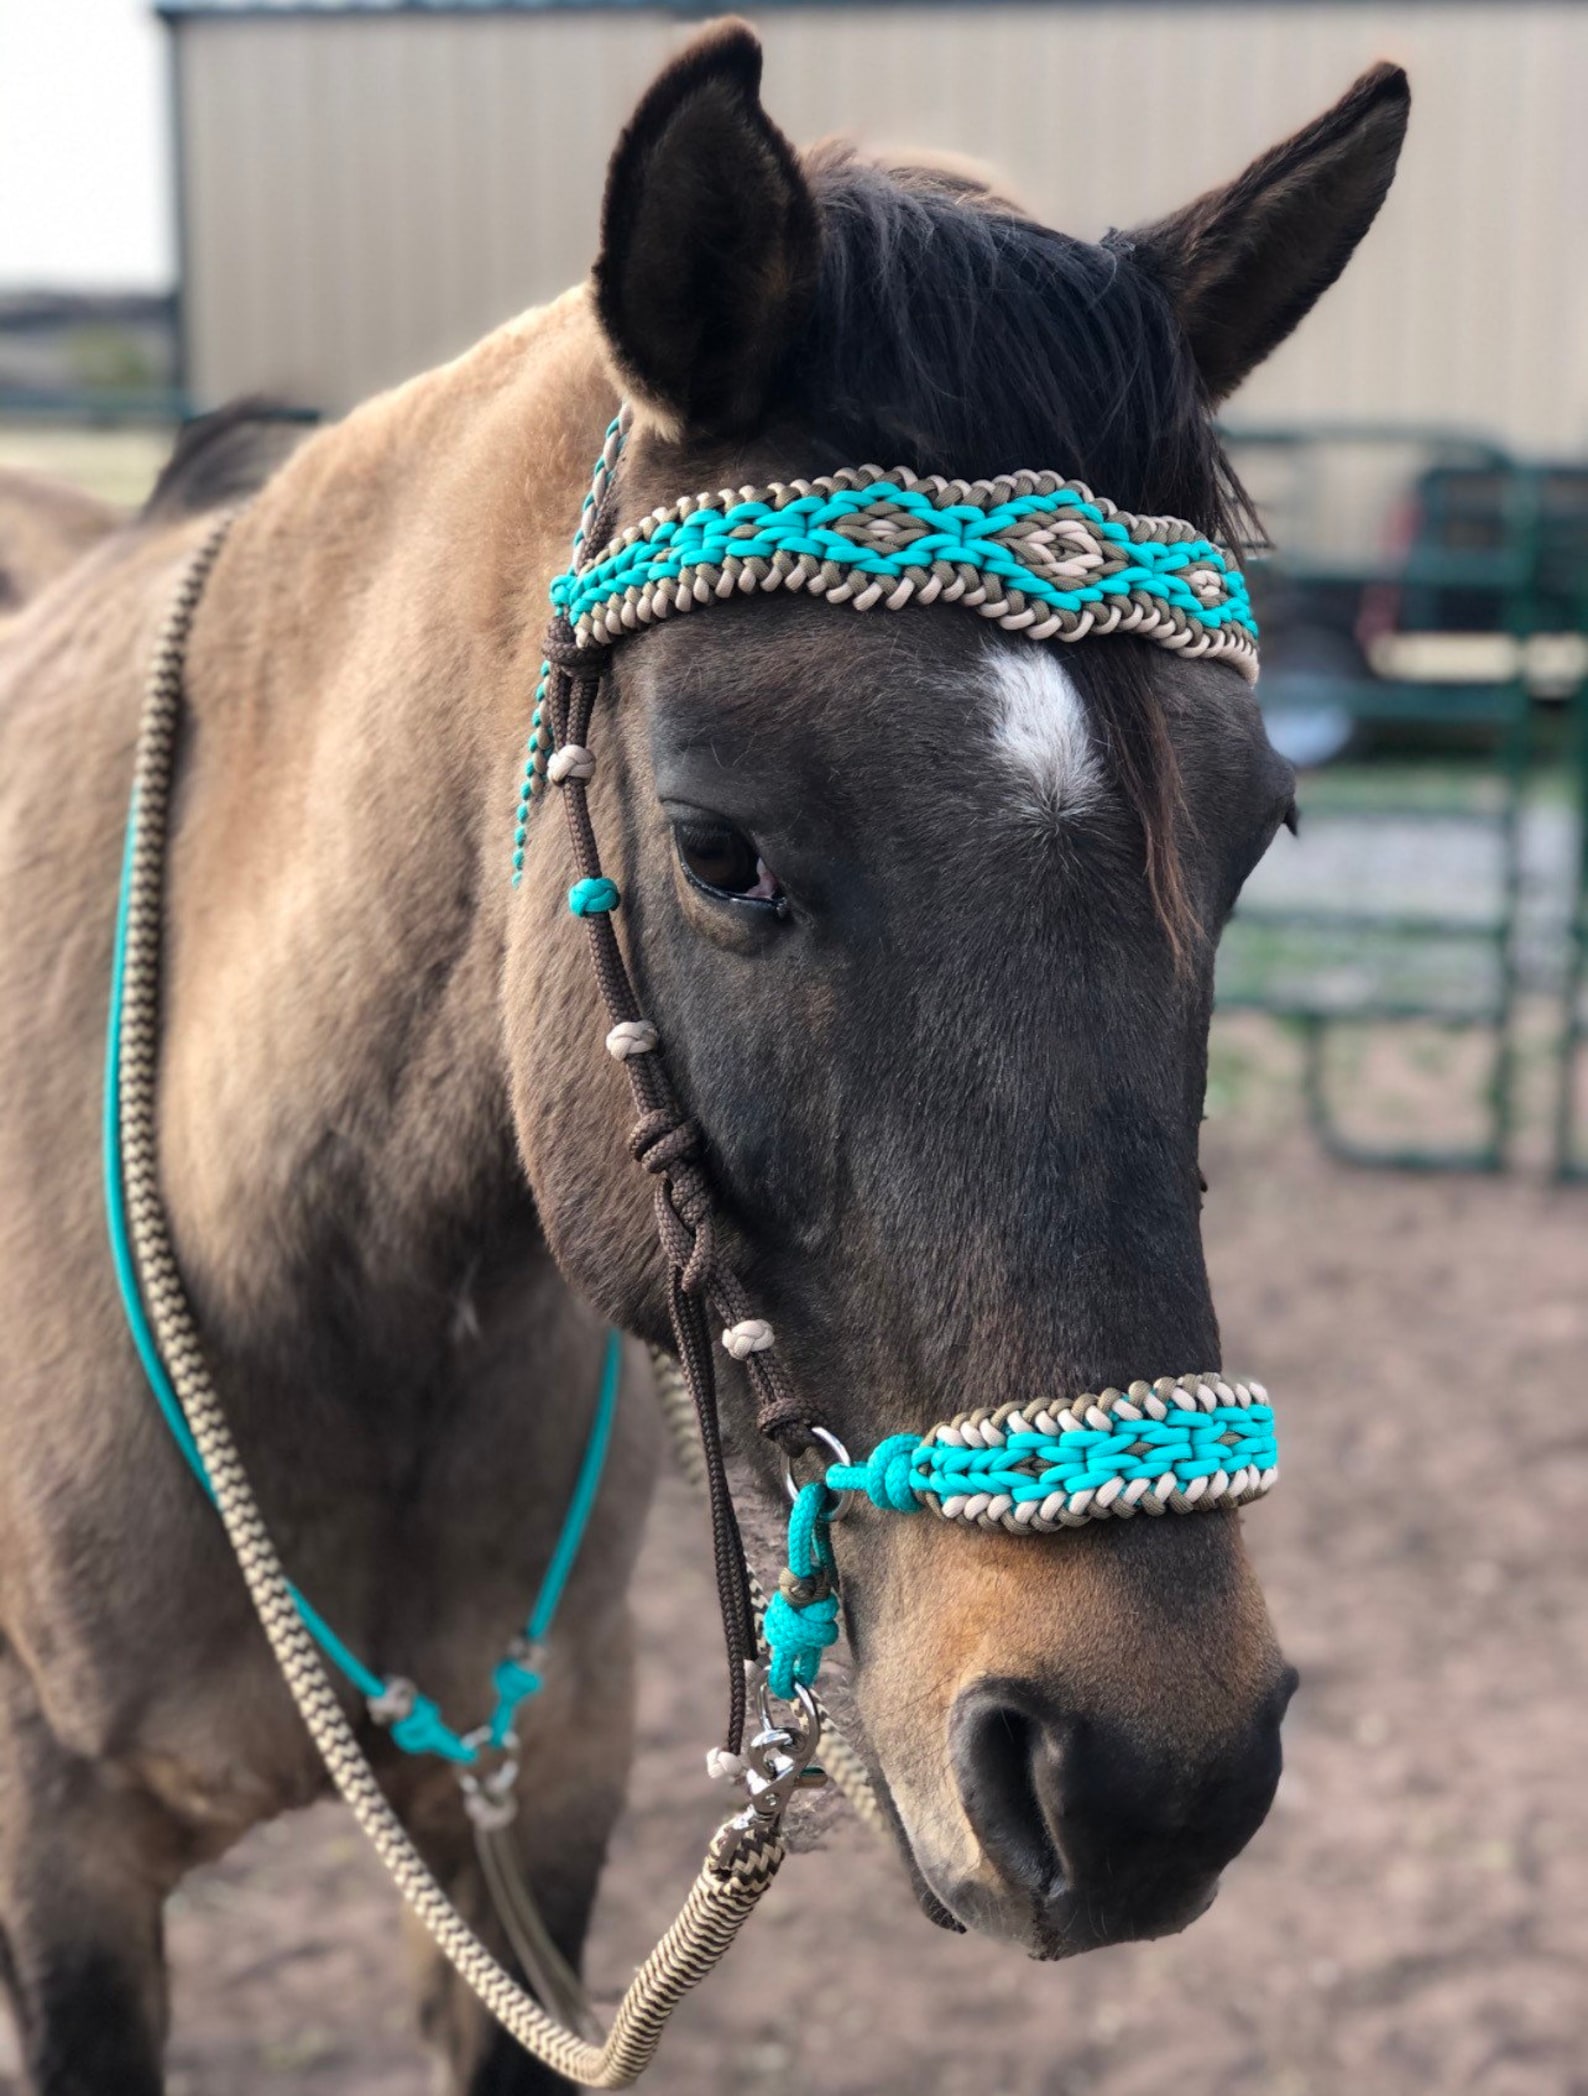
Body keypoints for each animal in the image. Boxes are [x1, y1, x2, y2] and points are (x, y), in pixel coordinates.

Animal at [0, 23, 1408, 2092]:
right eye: (718, 850)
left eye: (1258, 834)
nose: (1149, 1776)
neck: (303, 1277)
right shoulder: (66, 1873)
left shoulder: (538, 1807)